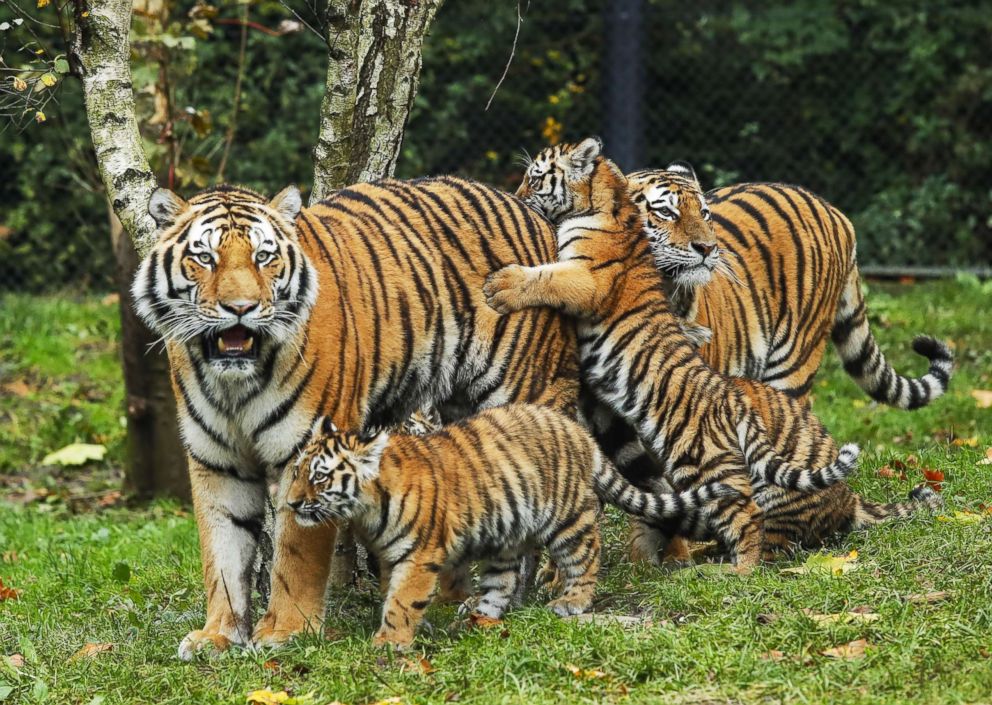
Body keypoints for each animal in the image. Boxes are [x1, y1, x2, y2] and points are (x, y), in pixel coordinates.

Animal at [131, 177, 582, 660]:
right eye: (204, 258)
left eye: (264, 257)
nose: (241, 308)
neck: (234, 384)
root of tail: (528, 209)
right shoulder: (217, 461)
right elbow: (222, 554)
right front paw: (218, 635)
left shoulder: (305, 451)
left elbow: (296, 553)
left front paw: (284, 631)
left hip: (525, 392)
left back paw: (531, 593)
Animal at [285, 405, 740, 649]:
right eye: (298, 471)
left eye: (320, 477)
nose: (290, 503)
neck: (365, 509)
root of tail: (578, 431)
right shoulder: (394, 553)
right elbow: (397, 592)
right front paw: (422, 625)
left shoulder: (420, 555)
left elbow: (402, 600)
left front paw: (388, 643)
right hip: (506, 536)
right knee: (501, 583)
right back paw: (477, 620)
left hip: (566, 518)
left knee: (587, 553)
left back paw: (571, 601)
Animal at [483, 137, 940, 570]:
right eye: (665, 213)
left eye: (702, 213)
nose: (707, 248)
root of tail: (835, 212)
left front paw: (669, 553)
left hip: (789, 371)